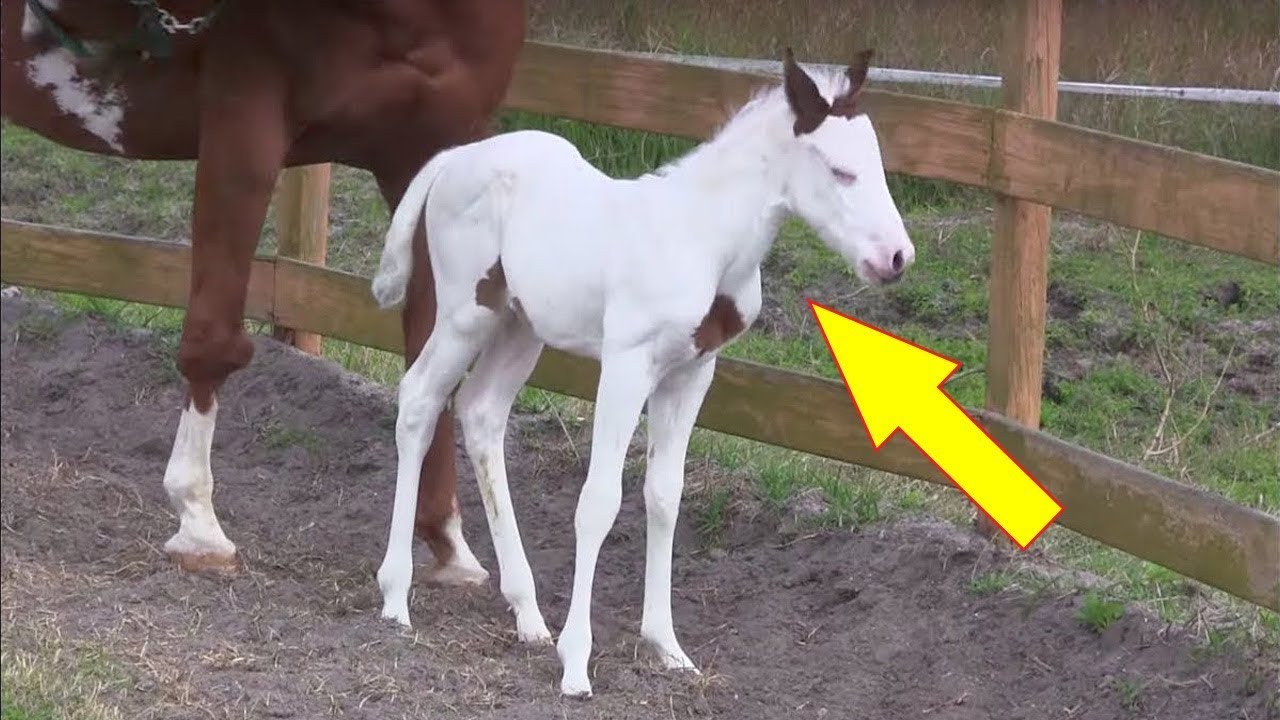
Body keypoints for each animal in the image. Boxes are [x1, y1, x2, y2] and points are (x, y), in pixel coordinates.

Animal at [1, 0, 525, 582]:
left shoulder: (431, 149)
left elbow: (433, 367)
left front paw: (449, 542)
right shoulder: (245, 123)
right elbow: (213, 338)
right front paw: (198, 524)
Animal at [369, 47, 916, 697]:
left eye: (876, 165)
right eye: (840, 171)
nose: (897, 258)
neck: (702, 240)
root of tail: (456, 158)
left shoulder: (692, 372)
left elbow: (664, 495)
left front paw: (667, 647)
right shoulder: (627, 365)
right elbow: (600, 500)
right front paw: (577, 666)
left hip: (519, 326)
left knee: (480, 413)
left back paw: (529, 615)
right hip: (463, 315)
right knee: (419, 400)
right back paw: (397, 599)